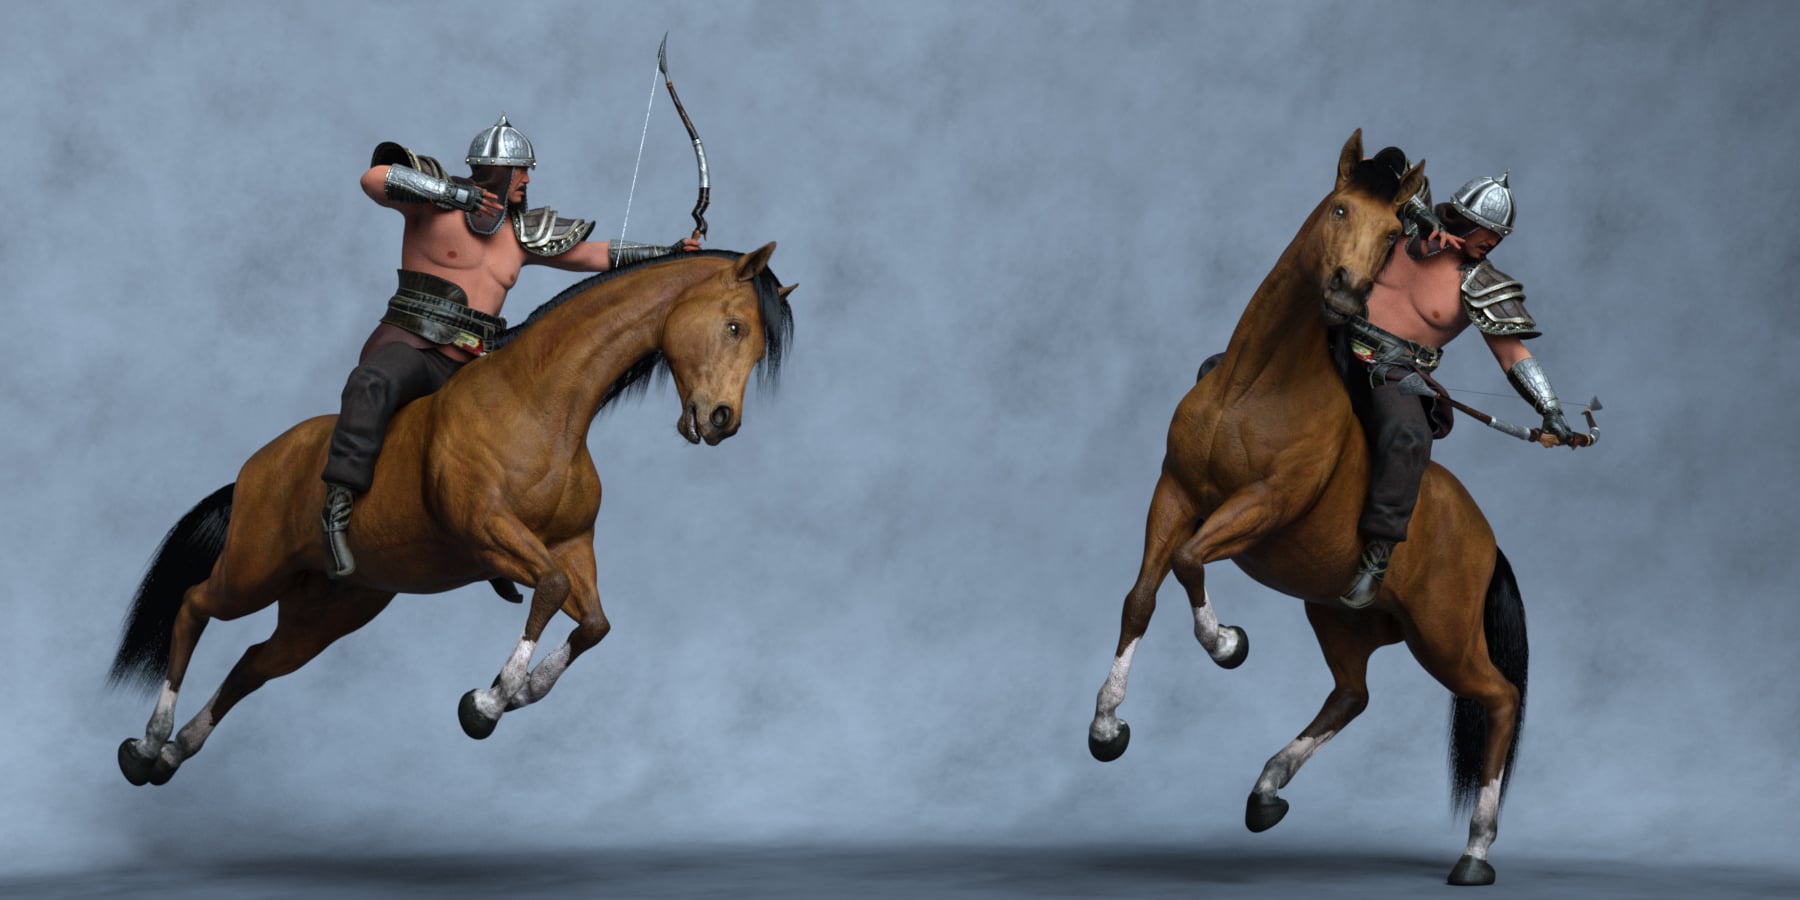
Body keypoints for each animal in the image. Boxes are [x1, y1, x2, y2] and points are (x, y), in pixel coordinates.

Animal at [109, 245, 796, 787]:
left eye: (755, 339)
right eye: (734, 326)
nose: (721, 420)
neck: (540, 405)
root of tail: (255, 468)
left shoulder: (572, 543)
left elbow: (595, 622)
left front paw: (520, 691)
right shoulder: (487, 536)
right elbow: (550, 589)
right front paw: (488, 702)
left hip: (328, 610)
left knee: (254, 662)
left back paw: (176, 751)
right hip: (253, 571)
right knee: (194, 606)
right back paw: (148, 743)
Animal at [1084, 131, 1529, 887]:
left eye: (1392, 234)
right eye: (1341, 209)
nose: (1347, 292)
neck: (1254, 386)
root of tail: (1487, 539)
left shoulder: (1263, 505)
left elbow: (1188, 560)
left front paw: (1226, 644)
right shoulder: (1173, 492)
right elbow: (1140, 596)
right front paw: (1107, 727)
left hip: (1444, 636)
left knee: (1499, 698)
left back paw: (1475, 851)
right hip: (1339, 619)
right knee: (1352, 695)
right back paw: (1267, 788)